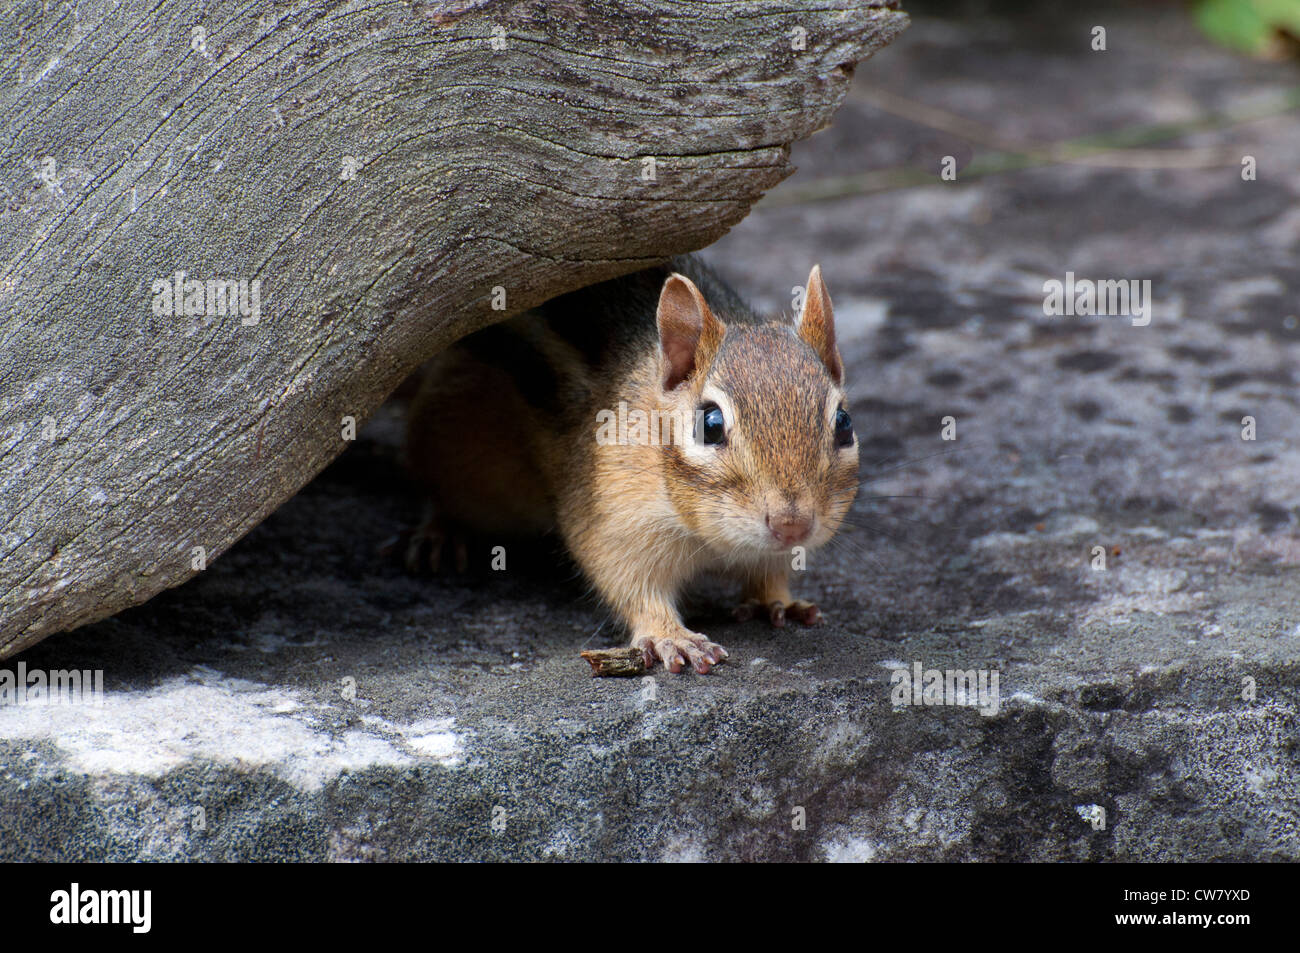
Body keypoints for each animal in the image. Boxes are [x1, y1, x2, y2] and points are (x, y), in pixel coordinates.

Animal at [405, 255, 859, 674]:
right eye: (710, 424)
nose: (792, 525)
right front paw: (670, 635)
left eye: (844, 423)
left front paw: (778, 600)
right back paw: (441, 532)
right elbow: (629, 581)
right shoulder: (612, 514)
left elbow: (770, 569)